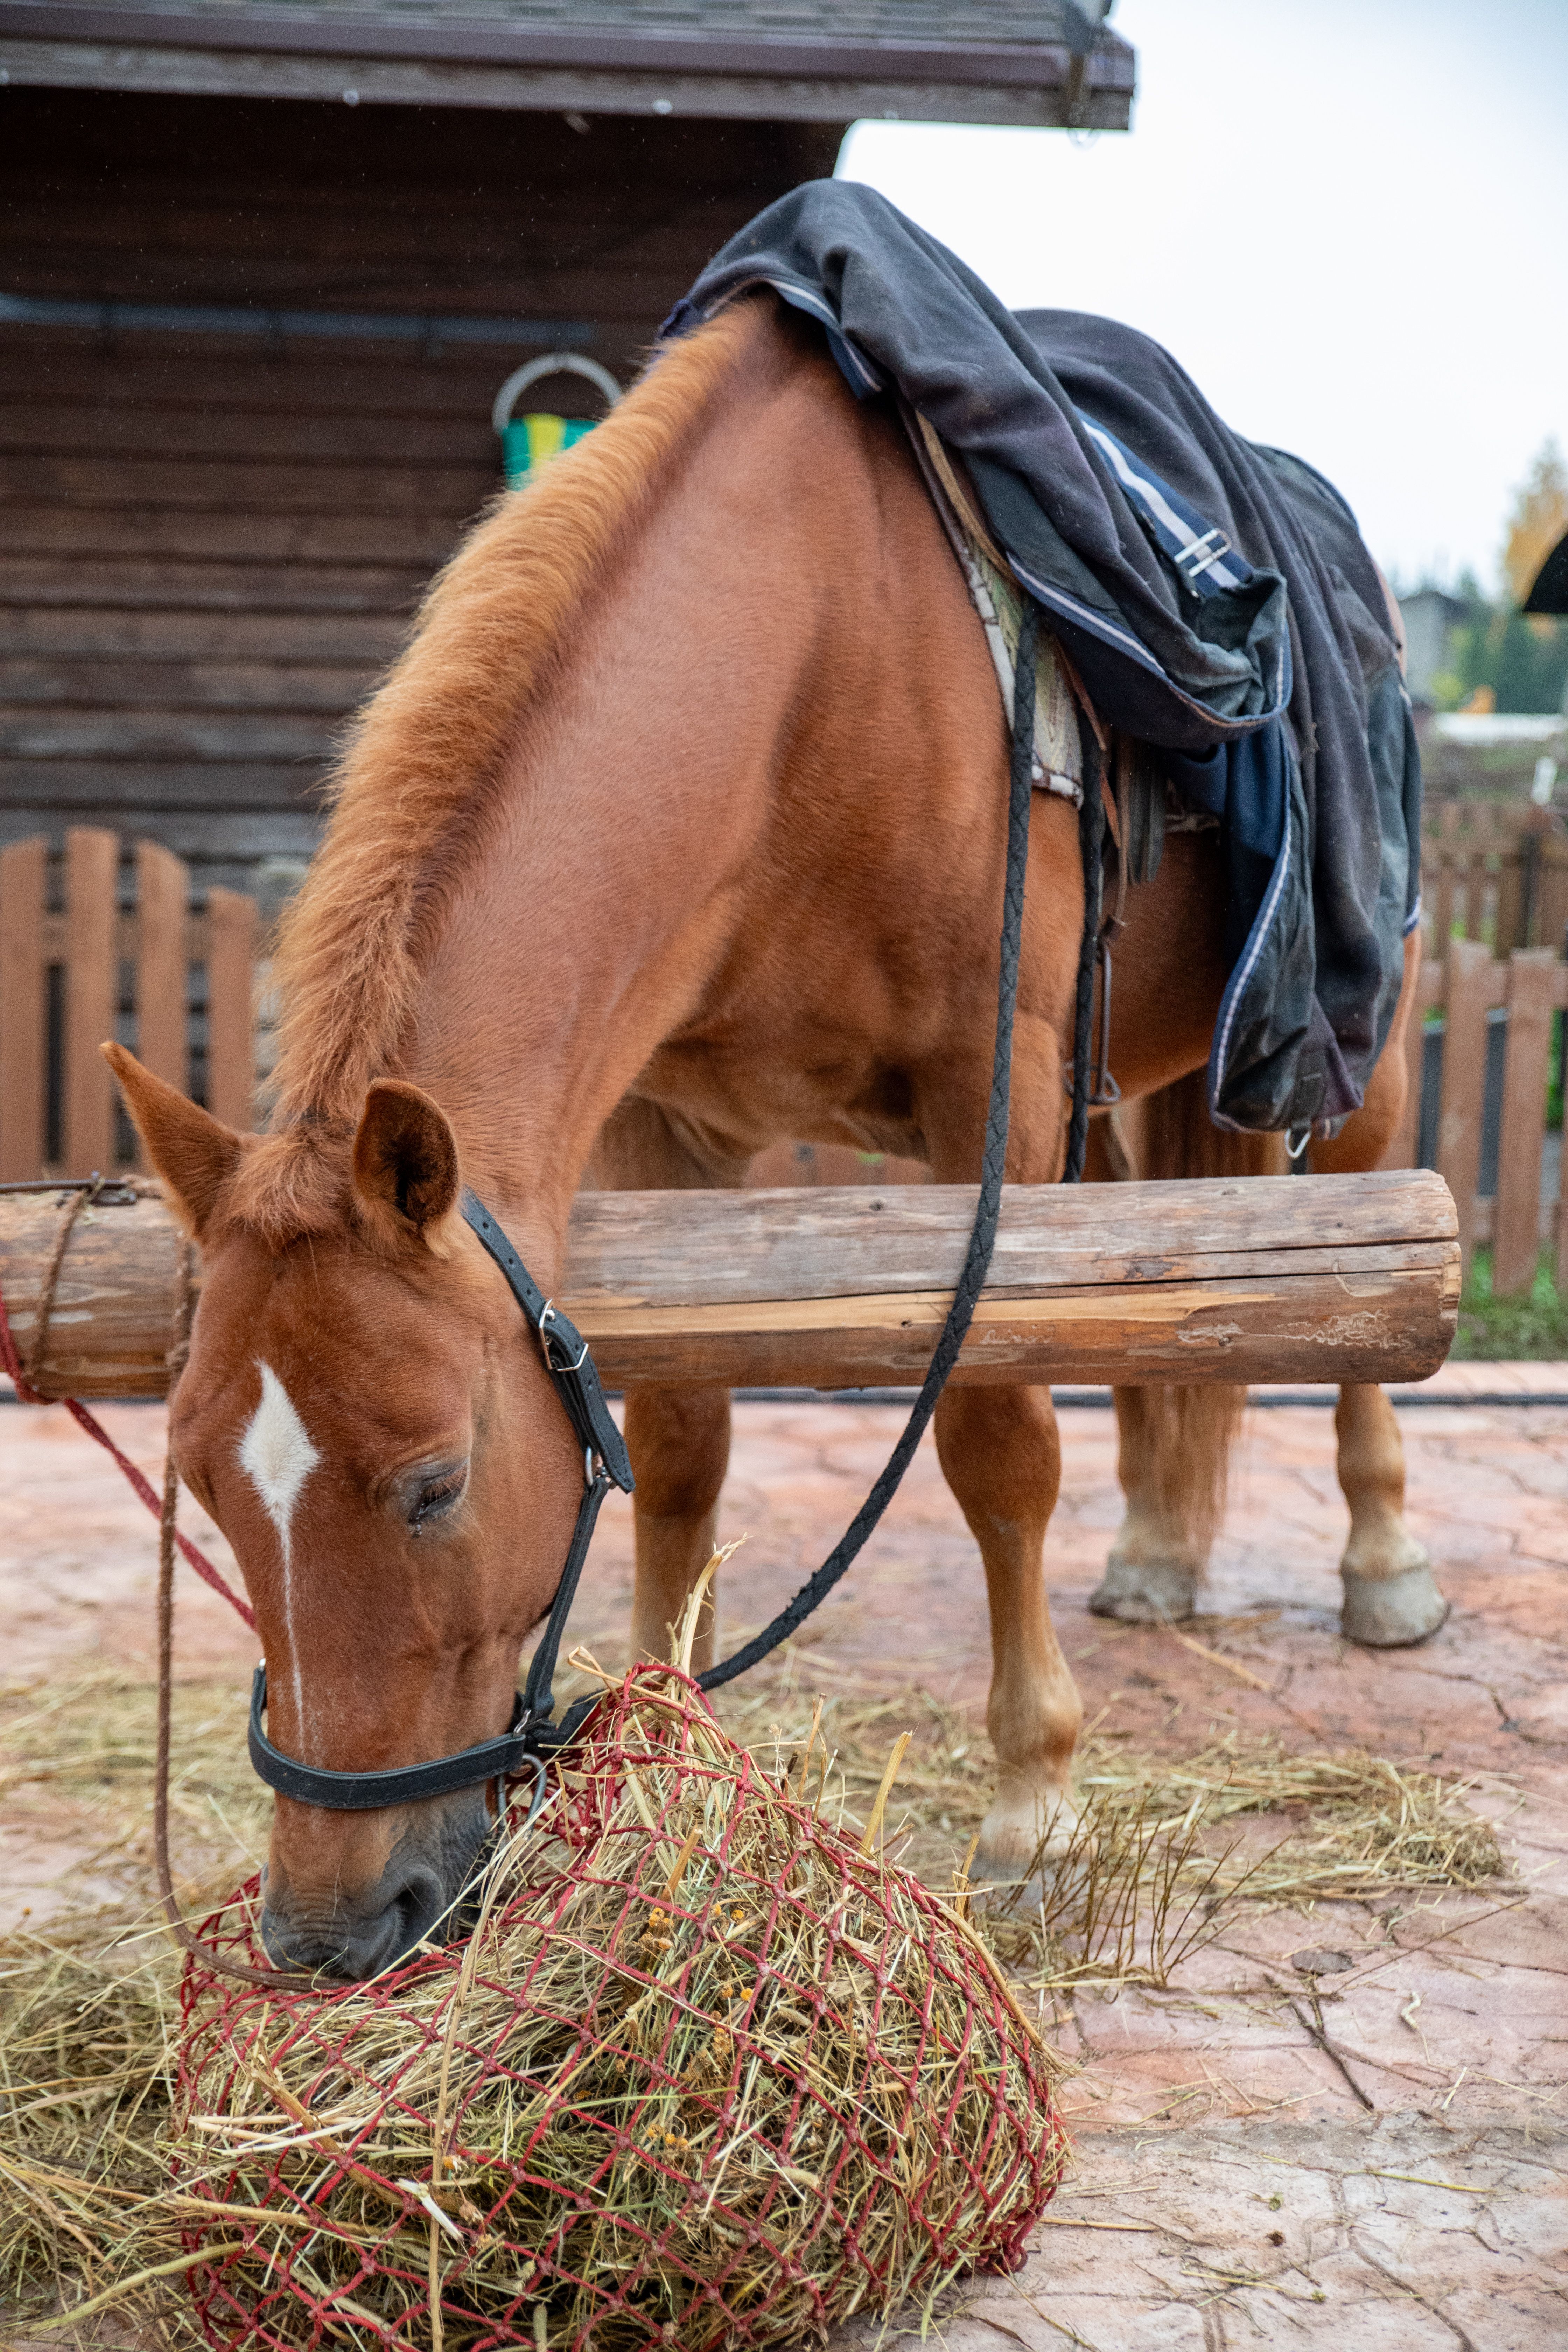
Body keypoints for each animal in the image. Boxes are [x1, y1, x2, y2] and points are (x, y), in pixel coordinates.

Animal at [108, 293, 1441, 1980]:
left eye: (436, 1483)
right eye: (203, 1483)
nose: (330, 1927)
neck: (808, 661)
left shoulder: (991, 1091)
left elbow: (998, 1440)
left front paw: (1034, 1806)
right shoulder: (661, 1117)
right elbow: (681, 1434)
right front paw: (663, 1754)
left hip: (1355, 1047)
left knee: (1359, 1280)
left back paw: (1384, 1562)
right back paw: (1156, 1548)